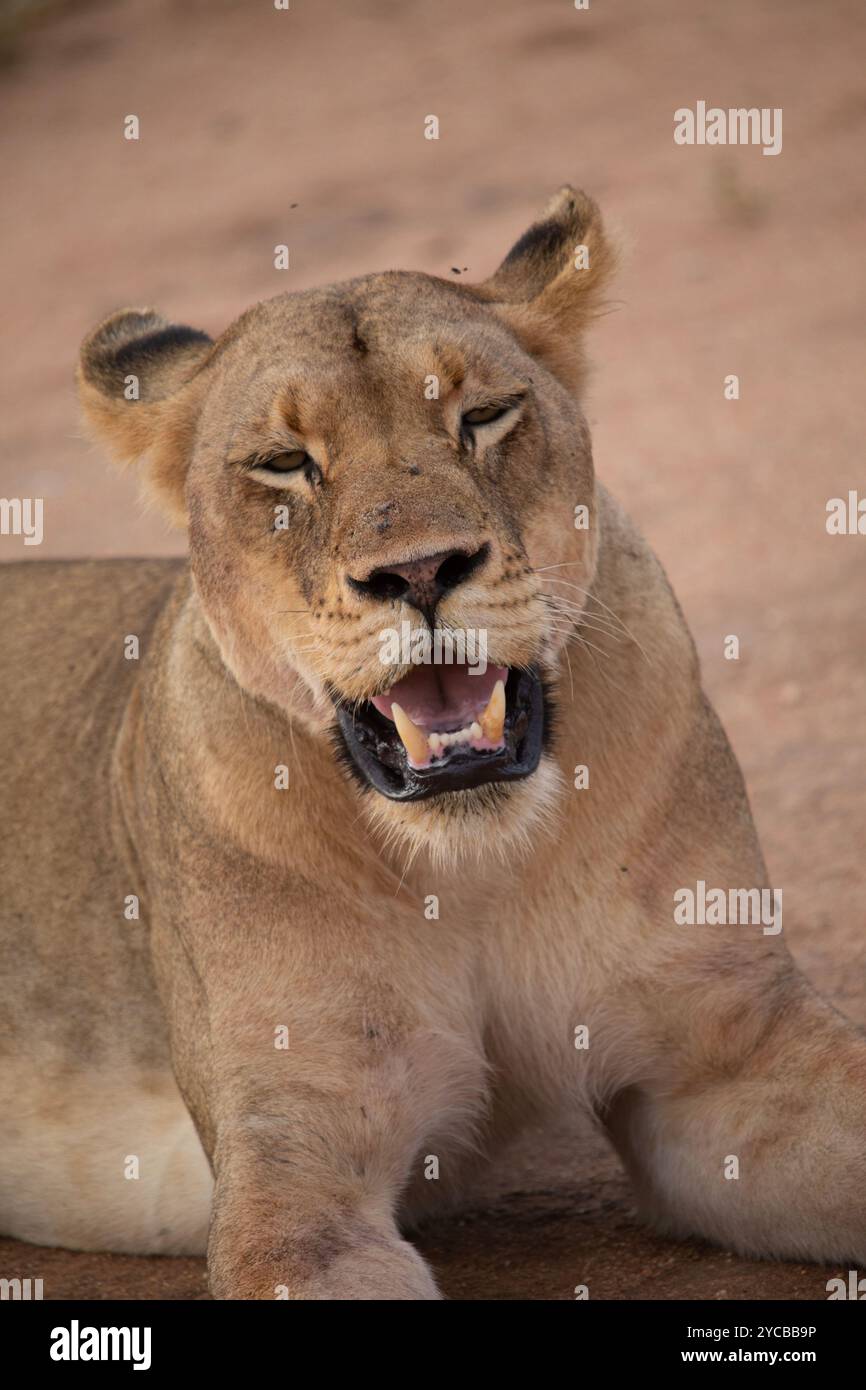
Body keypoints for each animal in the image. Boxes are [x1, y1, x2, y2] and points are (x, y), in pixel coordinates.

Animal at [1, 187, 864, 1300]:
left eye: (482, 416)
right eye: (285, 464)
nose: (418, 572)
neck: (472, 868)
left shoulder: (730, 1055)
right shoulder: (296, 1168)